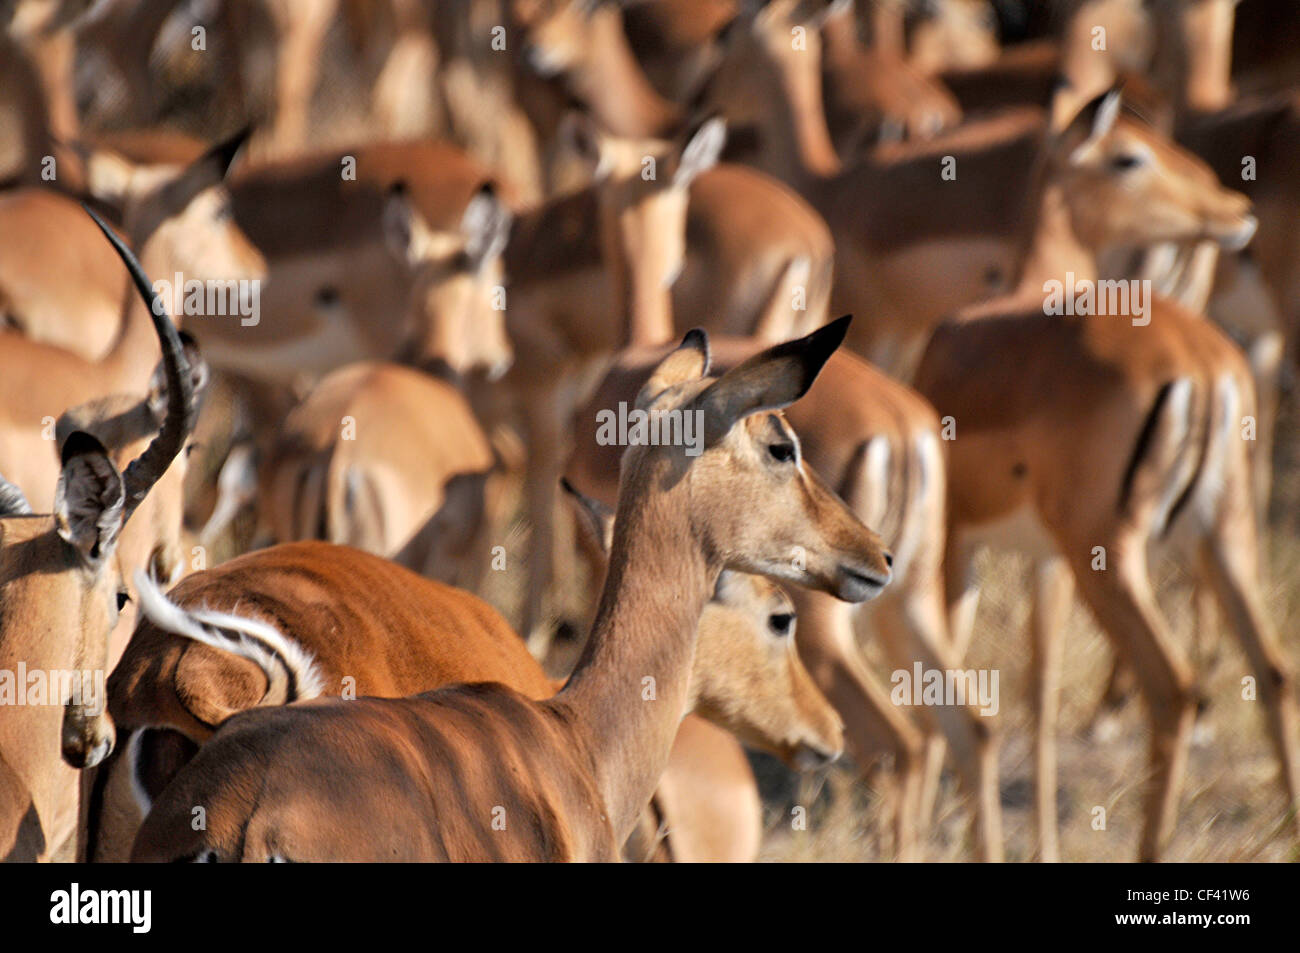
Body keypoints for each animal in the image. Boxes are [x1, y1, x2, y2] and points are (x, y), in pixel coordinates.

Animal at [913, 89, 1294, 862]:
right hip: (1222, 533)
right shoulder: (1041, 558)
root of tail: (1205, 363)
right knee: (1274, 672)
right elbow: (1039, 685)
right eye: (1129, 156)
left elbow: (950, 681)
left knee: (1174, 687)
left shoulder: (959, 539)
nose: (1232, 207)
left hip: (1111, 552)